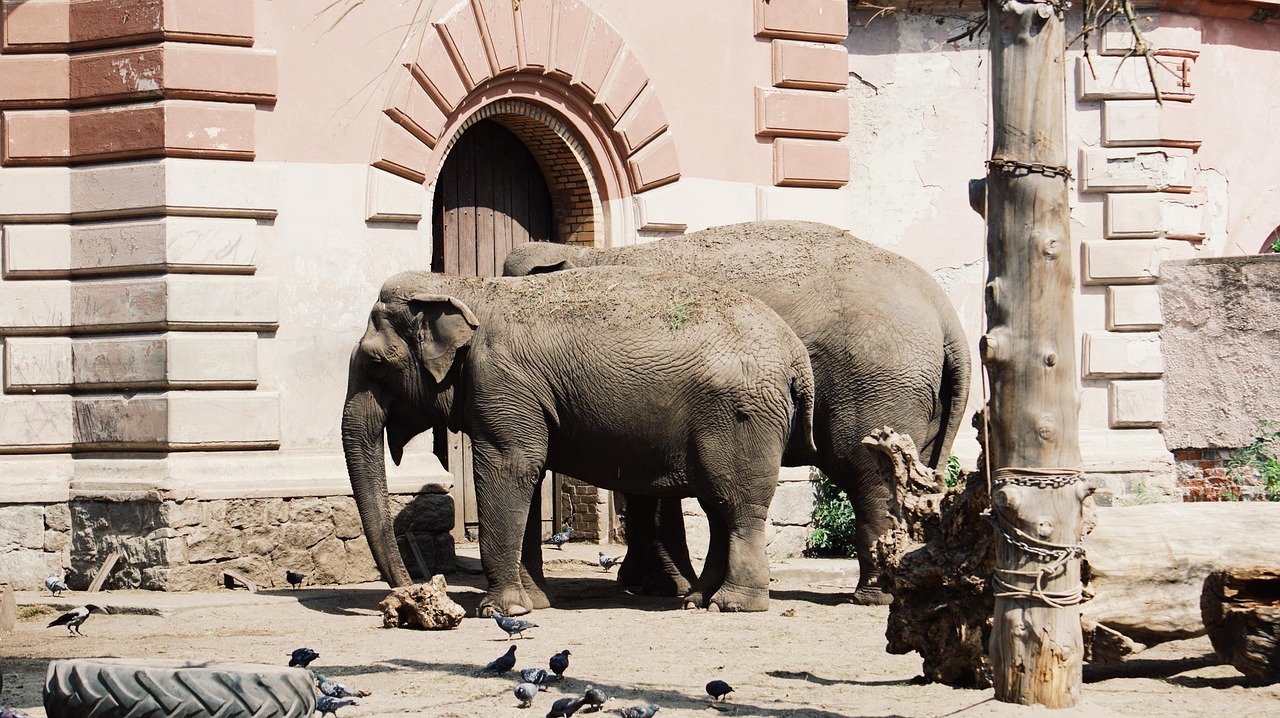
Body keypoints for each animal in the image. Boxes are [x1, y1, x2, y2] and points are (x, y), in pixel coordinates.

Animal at [341, 266, 816, 616]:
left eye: (376, 363)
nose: (407, 593)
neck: (462, 285)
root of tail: (797, 356)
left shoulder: (501, 383)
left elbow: (509, 467)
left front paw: (501, 611)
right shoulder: (517, 397)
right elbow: (528, 477)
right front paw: (533, 604)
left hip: (740, 419)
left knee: (736, 506)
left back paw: (732, 606)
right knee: (719, 508)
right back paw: (697, 601)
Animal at [503, 220, 972, 604]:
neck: (587, 256)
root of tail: (945, 316)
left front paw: (663, 586)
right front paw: (648, 583)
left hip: (877, 385)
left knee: (868, 476)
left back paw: (873, 595)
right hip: (924, 405)